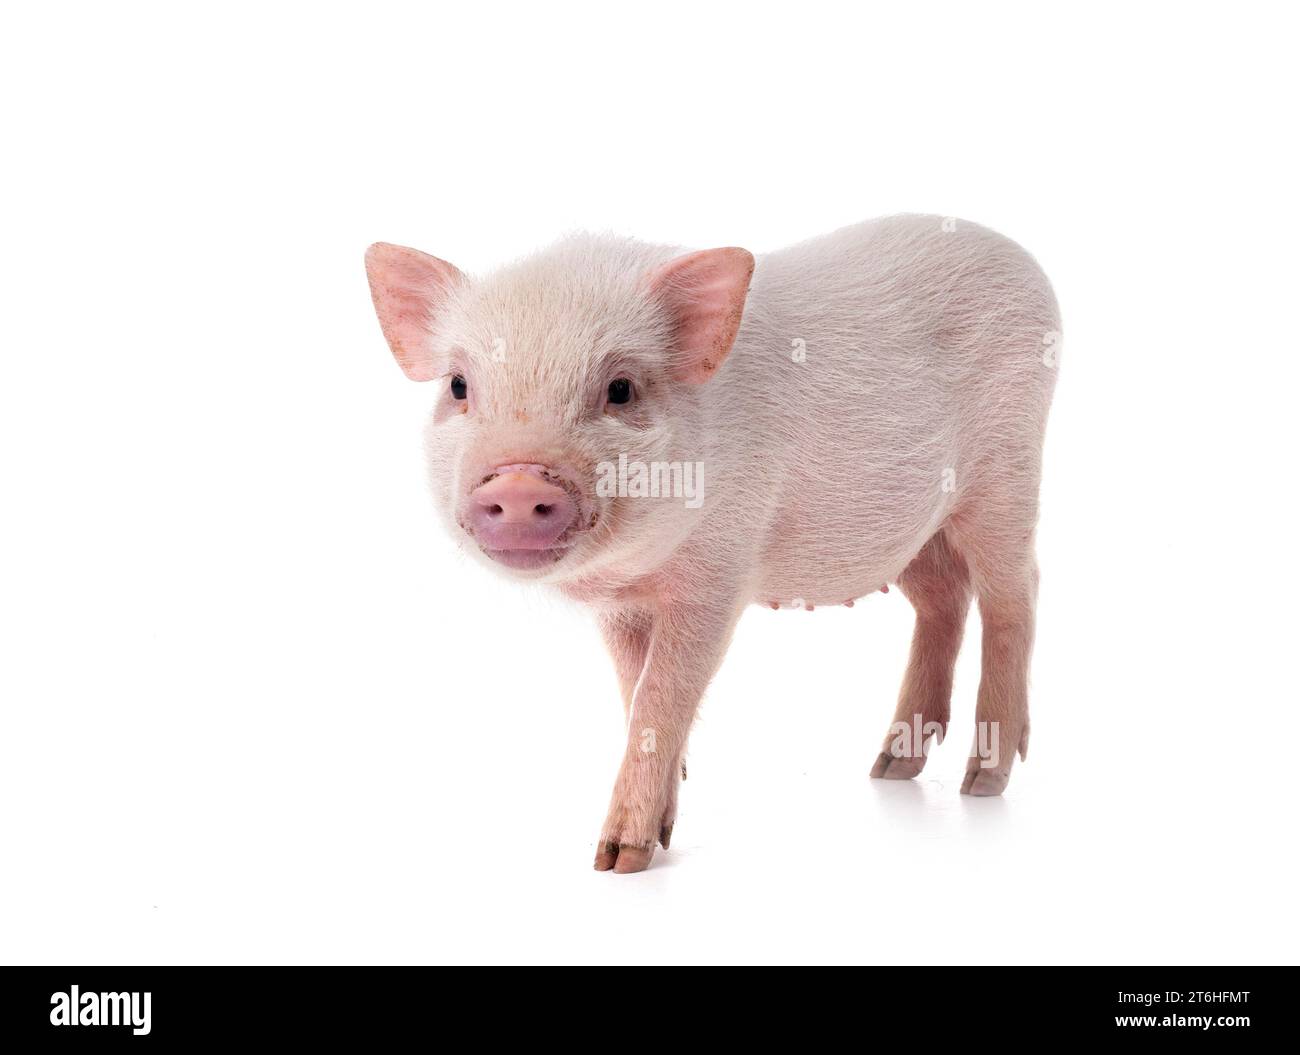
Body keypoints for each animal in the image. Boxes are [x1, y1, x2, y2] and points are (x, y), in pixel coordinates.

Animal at [364, 214, 1060, 873]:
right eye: (458, 386)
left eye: (620, 389)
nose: (515, 481)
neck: (638, 568)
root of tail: (1025, 263)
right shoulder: (621, 606)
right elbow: (634, 691)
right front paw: (663, 825)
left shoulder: (719, 576)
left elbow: (662, 695)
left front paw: (618, 860)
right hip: (915, 528)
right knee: (945, 599)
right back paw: (889, 767)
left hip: (1007, 475)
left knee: (1015, 594)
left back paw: (983, 779)